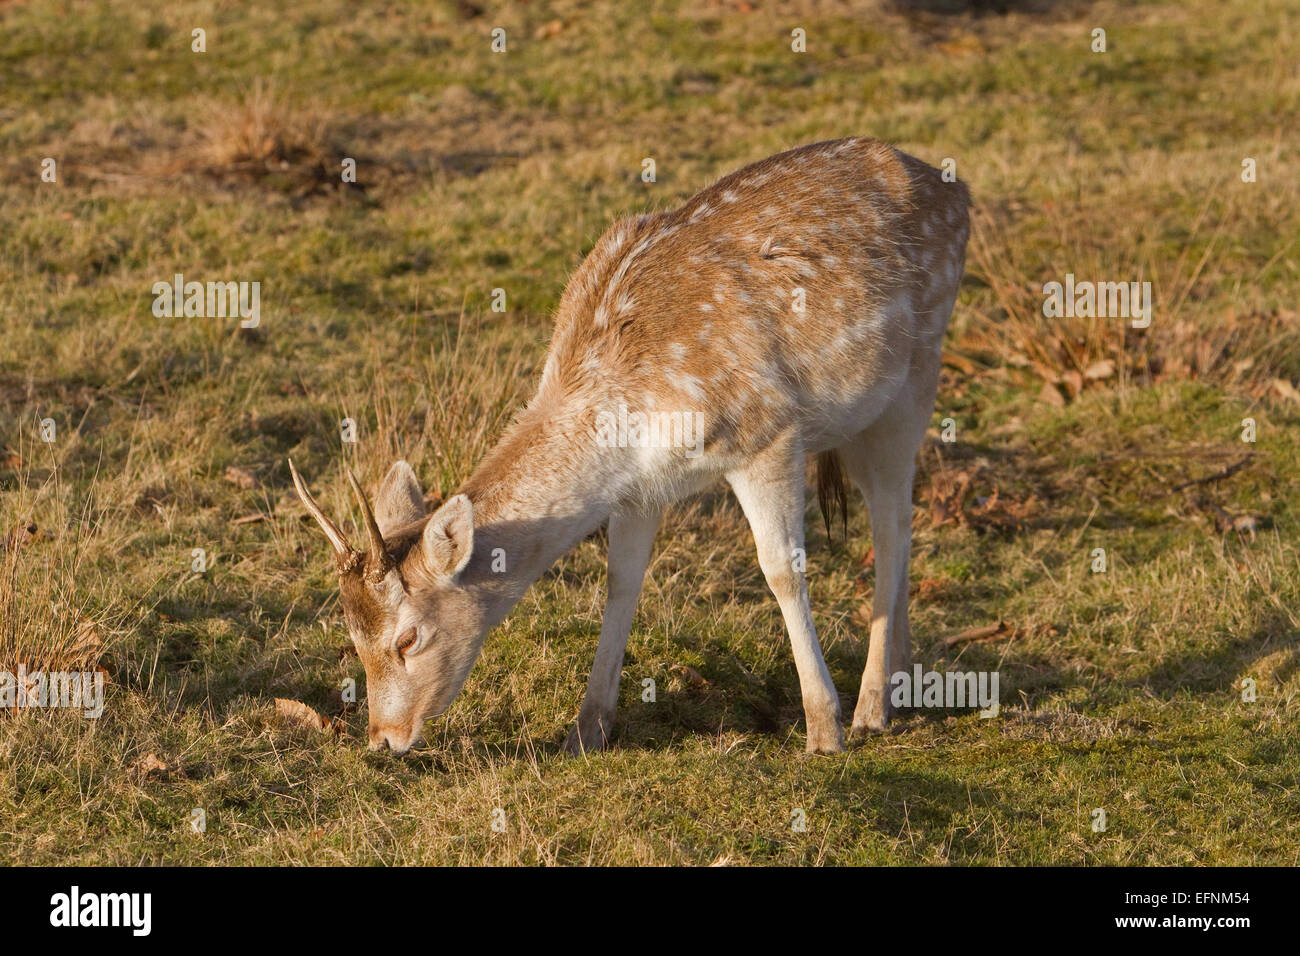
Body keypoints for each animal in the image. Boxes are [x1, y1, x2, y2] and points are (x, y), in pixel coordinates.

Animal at [290, 136, 970, 756]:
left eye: (408, 639)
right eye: (353, 639)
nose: (384, 739)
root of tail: (955, 188)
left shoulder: (766, 432)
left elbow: (782, 570)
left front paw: (823, 731)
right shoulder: (639, 489)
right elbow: (621, 581)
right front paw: (586, 731)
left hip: (916, 371)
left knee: (892, 520)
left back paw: (873, 705)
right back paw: (900, 678)